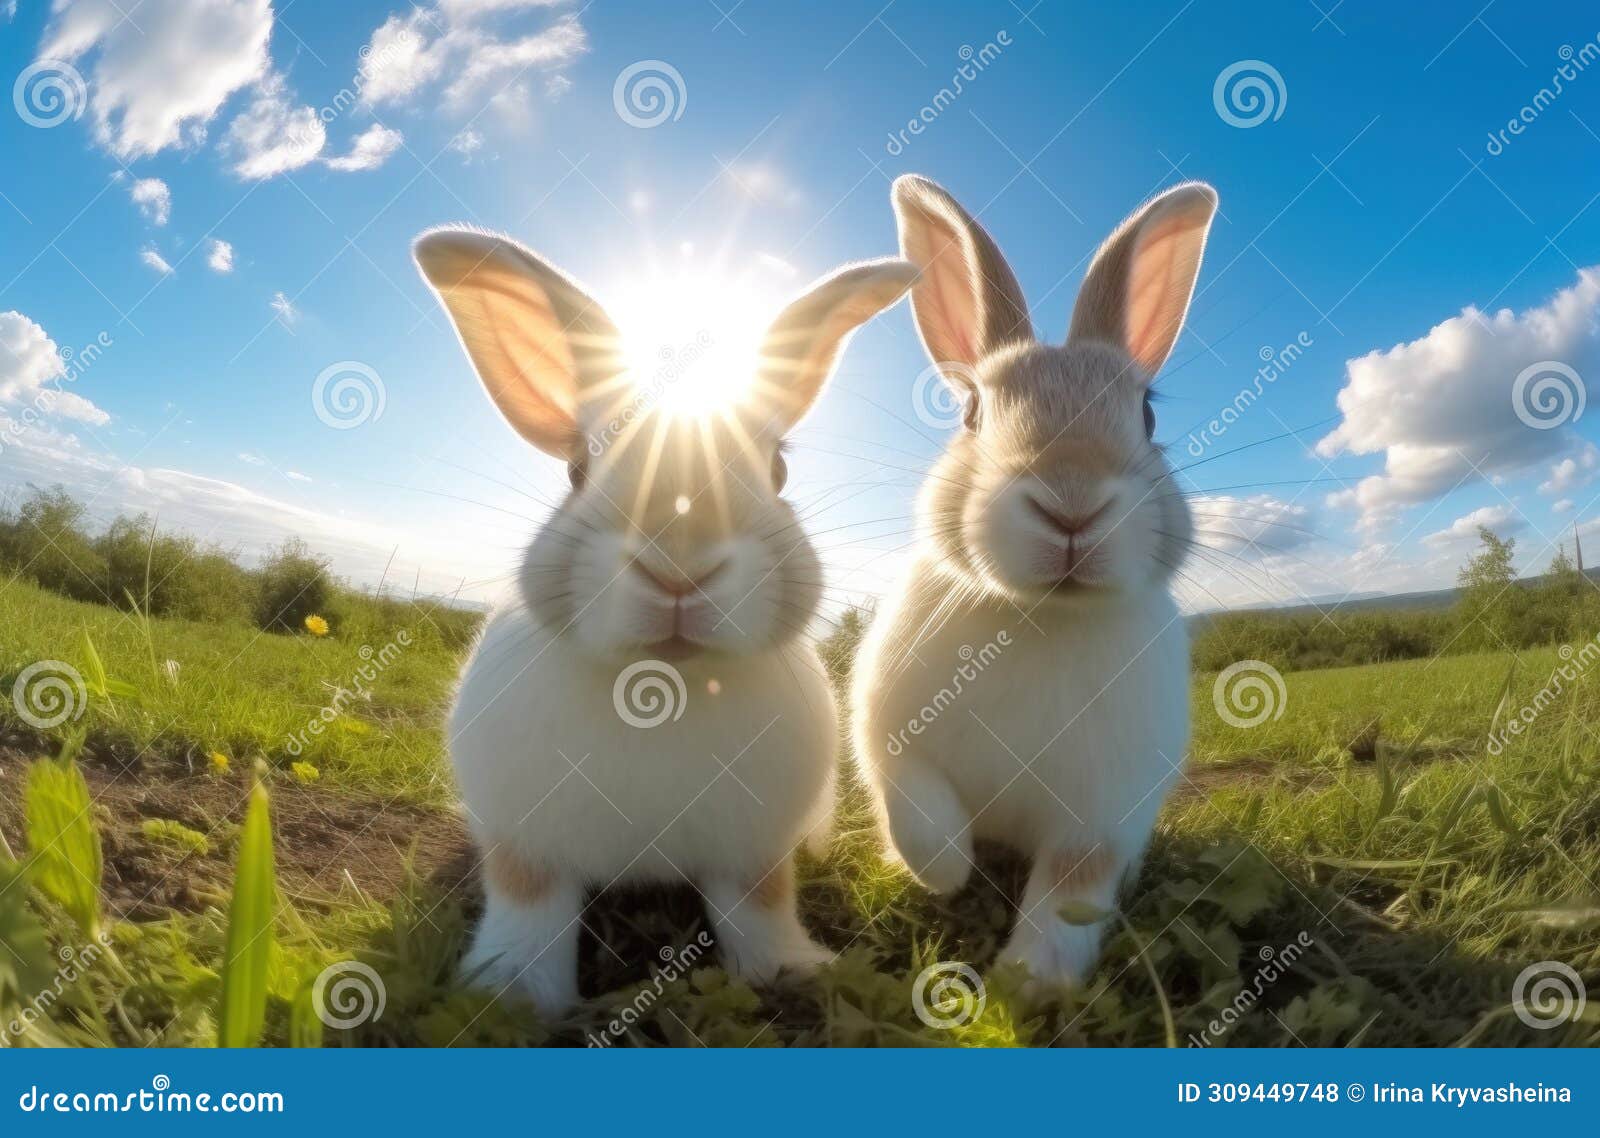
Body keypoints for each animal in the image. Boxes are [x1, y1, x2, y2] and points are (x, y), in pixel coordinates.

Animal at [413, 227, 916, 1015]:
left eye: (777, 470)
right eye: (578, 469)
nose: (679, 563)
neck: (661, 689)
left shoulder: (753, 850)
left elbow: (758, 908)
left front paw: (793, 969)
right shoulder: (527, 846)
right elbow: (531, 912)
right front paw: (511, 991)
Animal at [851, 175, 1218, 990]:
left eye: (1147, 415)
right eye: (970, 411)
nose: (1070, 502)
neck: (1039, 617)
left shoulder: (1101, 815)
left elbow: (1071, 889)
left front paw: (1030, 980)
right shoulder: (889, 742)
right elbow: (918, 812)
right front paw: (946, 871)